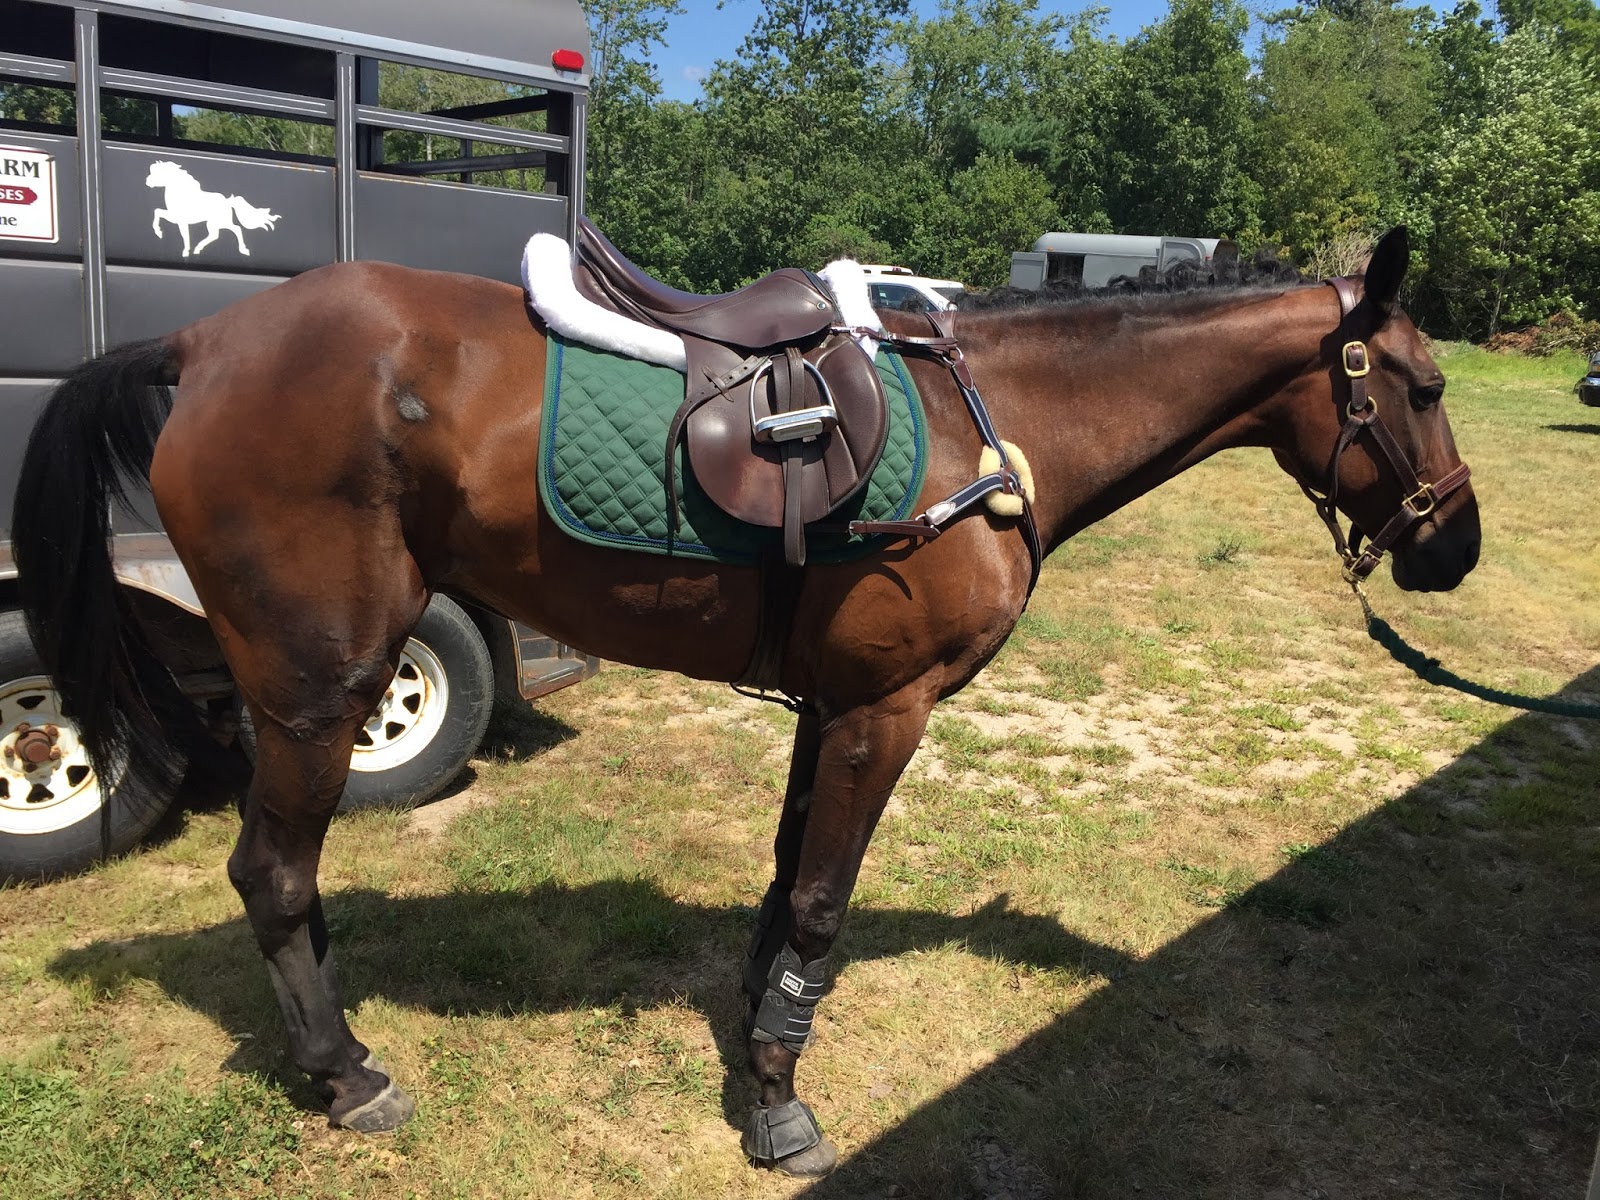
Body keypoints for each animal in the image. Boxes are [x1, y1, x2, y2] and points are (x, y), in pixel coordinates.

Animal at [12, 226, 1479, 1178]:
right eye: (1422, 386)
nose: (1454, 548)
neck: (996, 420)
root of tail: (203, 339)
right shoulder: (887, 709)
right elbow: (824, 902)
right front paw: (779, 1105)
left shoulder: (831, 707)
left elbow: (786, 890)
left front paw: (756, 1038)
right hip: (323, 688)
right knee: (271, 873)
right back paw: (346, 1074)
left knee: (292, 884)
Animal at [145, 160, 280, 258]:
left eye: (159, 173)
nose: (147, 182)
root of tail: (227, 201)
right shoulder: (176, 218)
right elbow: (158, 212)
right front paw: (161, 233)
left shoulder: (179, 219)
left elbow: (183, 234)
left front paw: (162, 234)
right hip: (217, 223)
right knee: (221, 233)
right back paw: (199, 249)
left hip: (219, 222)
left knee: (233, 229)